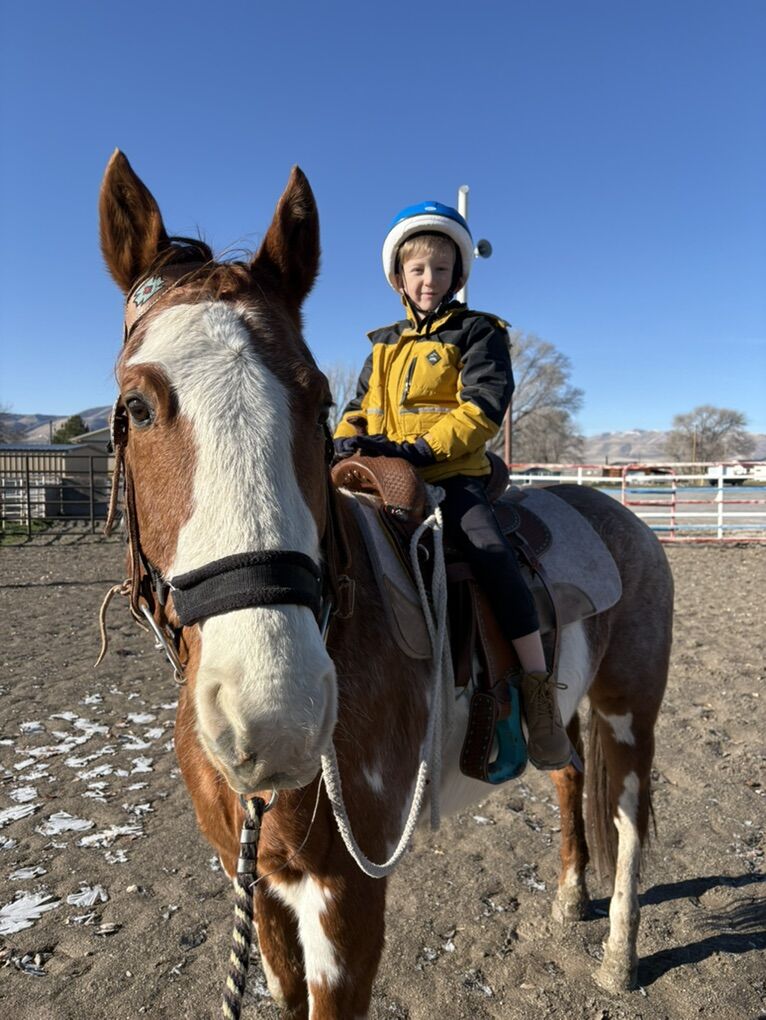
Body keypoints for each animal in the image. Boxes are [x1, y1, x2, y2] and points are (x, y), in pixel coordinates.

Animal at [98, 149, 673, 1018]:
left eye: (317, 399)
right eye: (135, 405)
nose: (275, 717)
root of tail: (621, 516)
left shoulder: (347, 893)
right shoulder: (256, 879)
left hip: (631, 713)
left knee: (632, 825)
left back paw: (618, 955)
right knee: (571, 773)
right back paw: (572, 895)